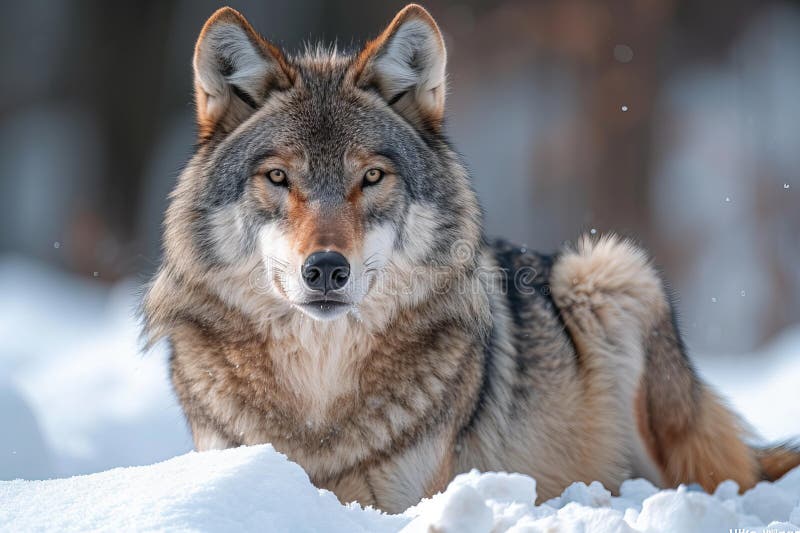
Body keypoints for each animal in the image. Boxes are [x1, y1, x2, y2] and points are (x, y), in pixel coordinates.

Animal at [143, 4, 800, 513]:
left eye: (372, 177)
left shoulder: (408, 499)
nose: (326, 268)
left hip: (610, 273)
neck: (320, 393)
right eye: (278, 177)